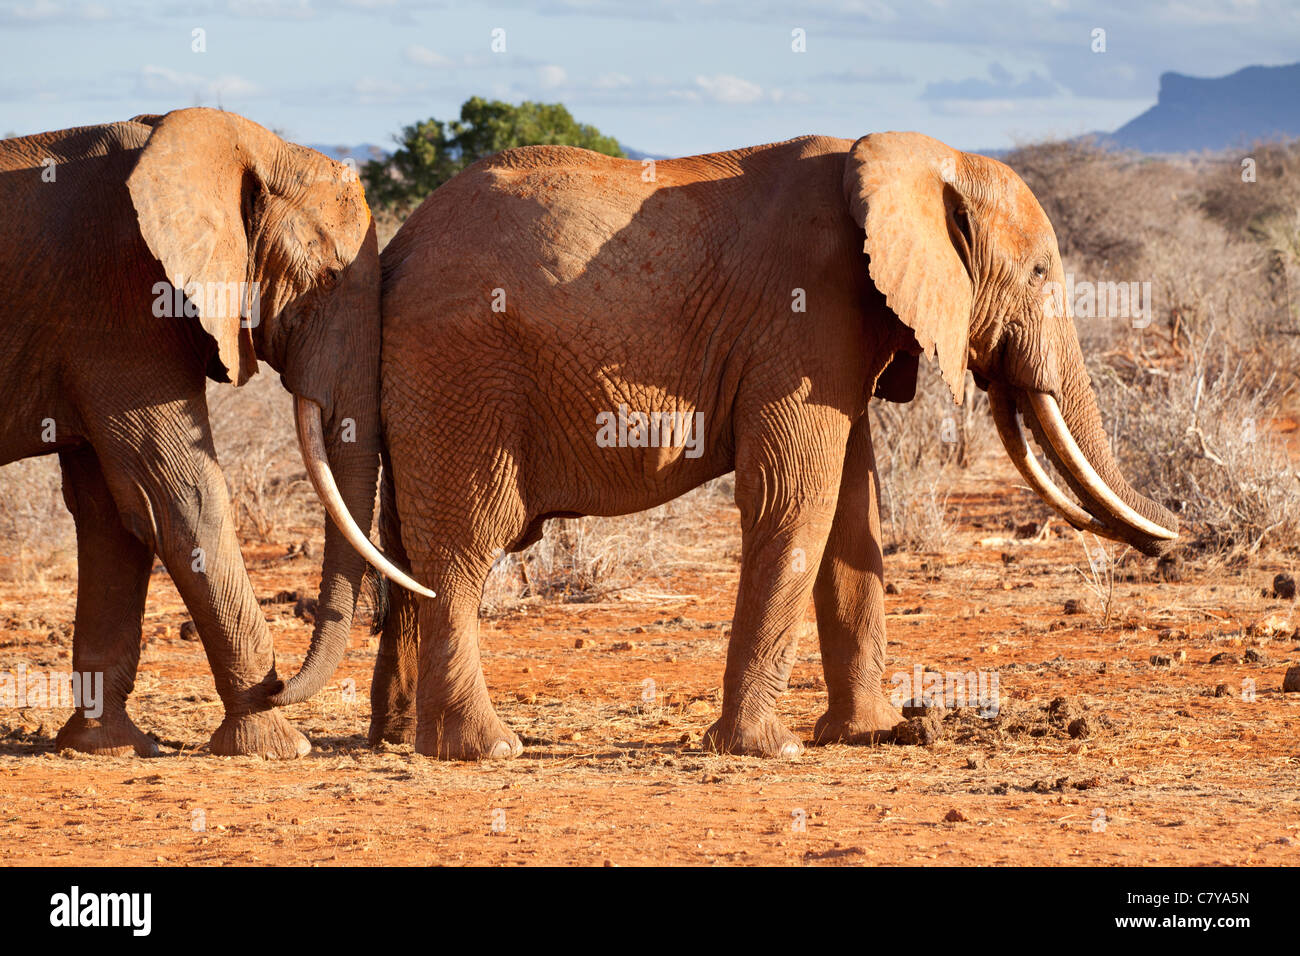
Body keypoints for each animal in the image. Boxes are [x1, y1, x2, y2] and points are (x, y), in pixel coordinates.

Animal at [0, 108, 426, 758]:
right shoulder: (122, 300)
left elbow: (113, 513)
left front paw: (106, 744)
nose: (281, 683)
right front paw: (277, 743)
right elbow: (177, 498)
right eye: (329, 278)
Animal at [366, 131, 1179, 759]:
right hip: (460, 372)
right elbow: (797, 502)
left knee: (406, 550)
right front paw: (770, 749)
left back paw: (400, 739)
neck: (918, 157)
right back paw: (485, 747)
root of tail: (395, 251)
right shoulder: (806, 317)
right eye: (1039, 273)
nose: (1172, 545)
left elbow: (855, 511)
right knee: (463, 548)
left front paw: (874, 734)